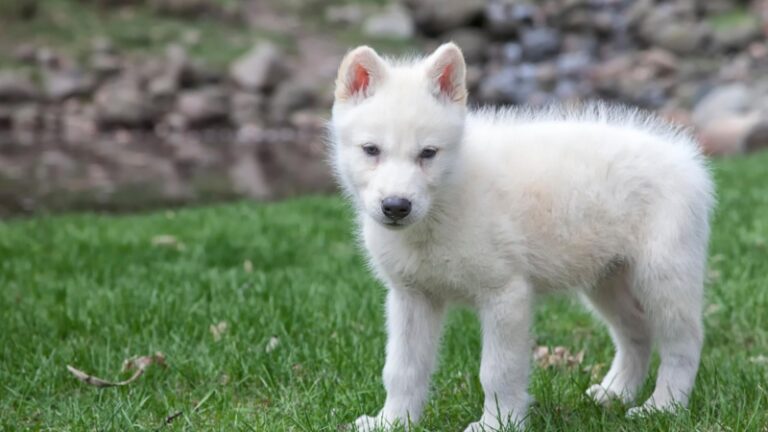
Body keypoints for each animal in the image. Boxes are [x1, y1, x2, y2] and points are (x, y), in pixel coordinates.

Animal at [329, 42, 714, 431]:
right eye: (371, 150)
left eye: (428, 153)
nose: (396, 207)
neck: (443, 203)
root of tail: (686, 157)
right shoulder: (411, 297)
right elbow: (402, 368)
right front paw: (392, 421)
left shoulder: (506, 294)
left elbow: (497, 372)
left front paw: (498, 423)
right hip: (608, 280)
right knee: (637, 332)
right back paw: (616, 393)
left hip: (662, 275)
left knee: (684, 342)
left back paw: (663, 407)